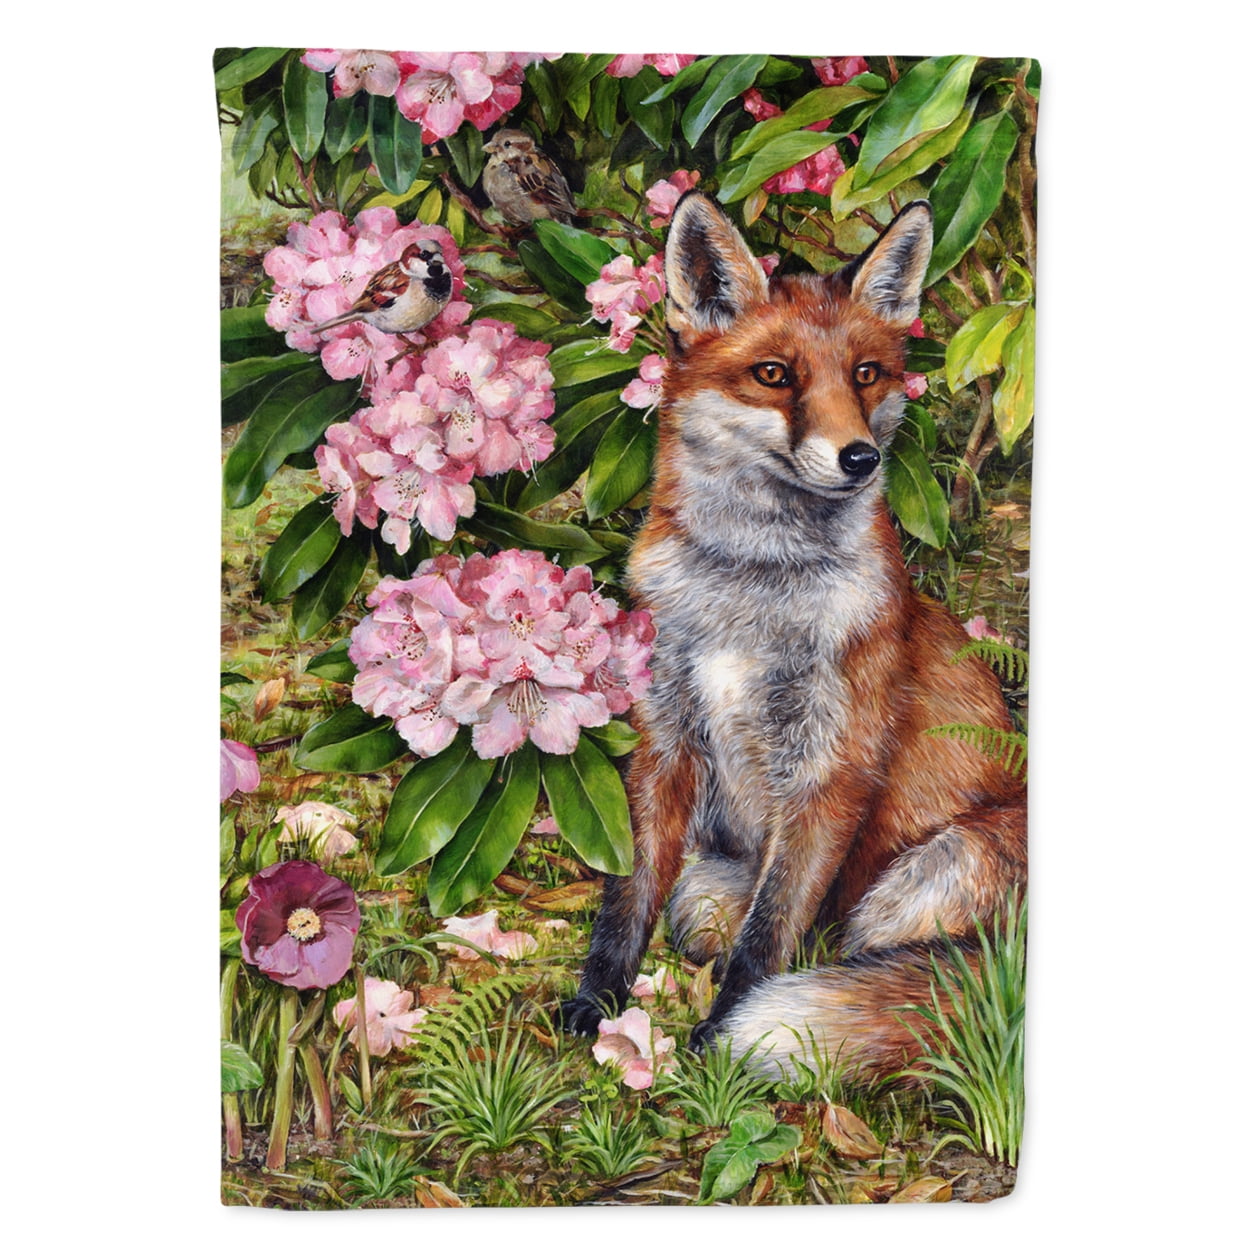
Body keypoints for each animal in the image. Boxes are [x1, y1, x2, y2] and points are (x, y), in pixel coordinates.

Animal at [558, 191, 1027, 1078]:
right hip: (714, 885)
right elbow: (629, 898)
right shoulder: (664, 741)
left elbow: (769, 937)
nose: (861, 458)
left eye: (866, 374)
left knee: (876, 958)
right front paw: (595, 1002)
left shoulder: (831, 770)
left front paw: (718, 1039)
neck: (750, 592)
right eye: (774, 375)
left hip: (933, 871)